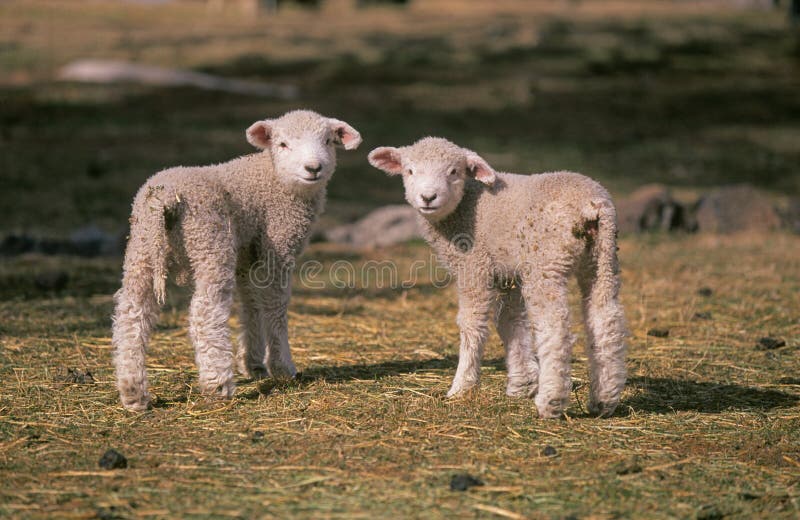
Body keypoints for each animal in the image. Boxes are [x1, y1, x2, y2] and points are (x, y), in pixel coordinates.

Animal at [112, 110, 362, 411]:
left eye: (327, 141)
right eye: (282, 144)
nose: (313, 168)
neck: (273, 178)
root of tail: (164, 198)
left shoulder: (246, 254)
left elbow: (251, 305)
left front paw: (253, 363)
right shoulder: (278, 244)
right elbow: (275, 306)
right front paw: (281, 367)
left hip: (142, 249)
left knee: (131, 315)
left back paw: (133, 392)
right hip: (209, 241)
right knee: (205, 313)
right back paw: (218, 385)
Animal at [368, 137, 627, 419]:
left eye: (454, 172)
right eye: (409, 171)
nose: (428, 197)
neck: (465, 204)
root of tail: (591, 204)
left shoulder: (474, 266)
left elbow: (472, 324)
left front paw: (462, 387)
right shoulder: (508, 274)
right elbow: (510, 322)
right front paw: (522, 383)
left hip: (545, 263)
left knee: (555, 326)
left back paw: (551, 401)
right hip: (602, 259)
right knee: (606, 320)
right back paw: (604, 400)